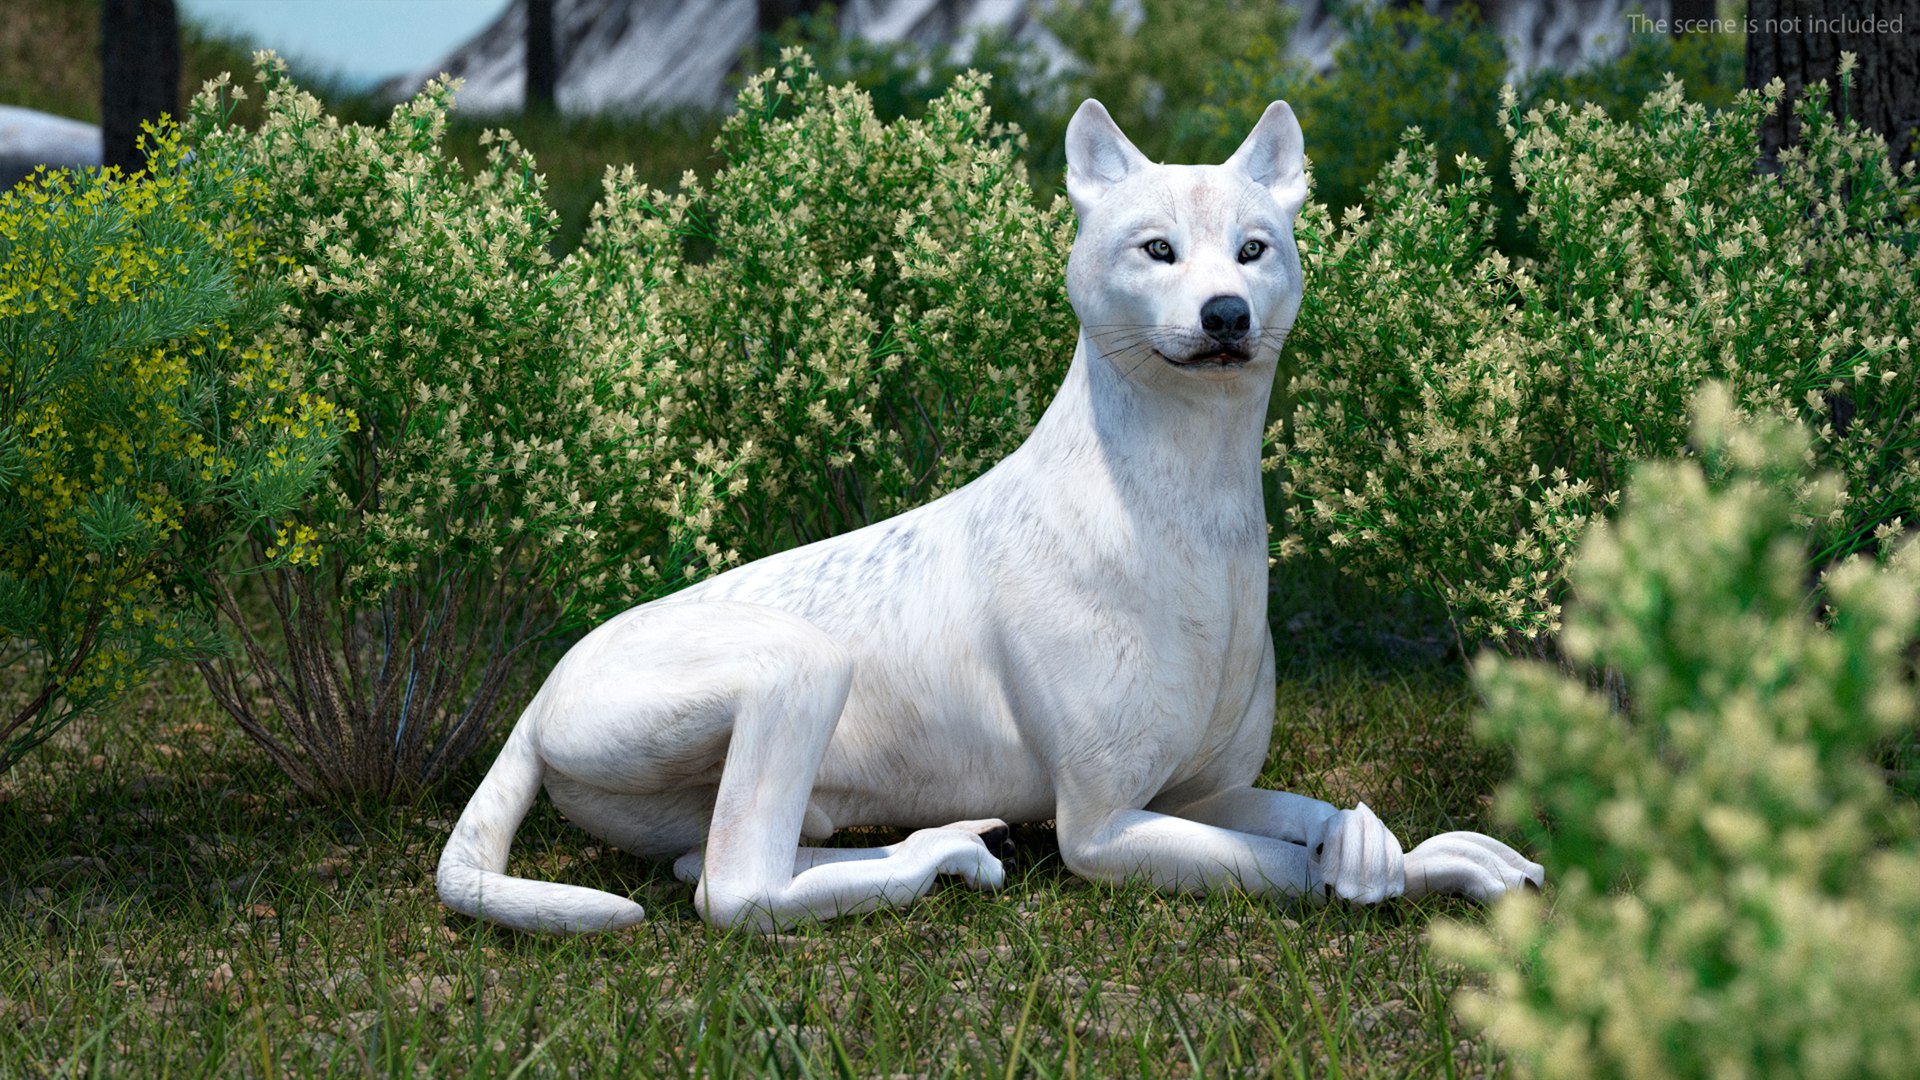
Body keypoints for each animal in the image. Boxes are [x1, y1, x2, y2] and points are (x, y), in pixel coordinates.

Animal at [436, 99, 1544, 934]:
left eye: (1253, 249)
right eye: (1158, 249)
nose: (1226, 314)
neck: (1189, 519)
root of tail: (540, 694)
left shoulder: (1200, 793)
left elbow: (1317, 817)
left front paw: (1373, 838)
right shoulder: (1104, 828)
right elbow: (1290, 869)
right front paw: (1419, 865)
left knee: (708, 867)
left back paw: (937, 846)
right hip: (799, 666)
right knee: (734, 891)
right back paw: (930, 861)